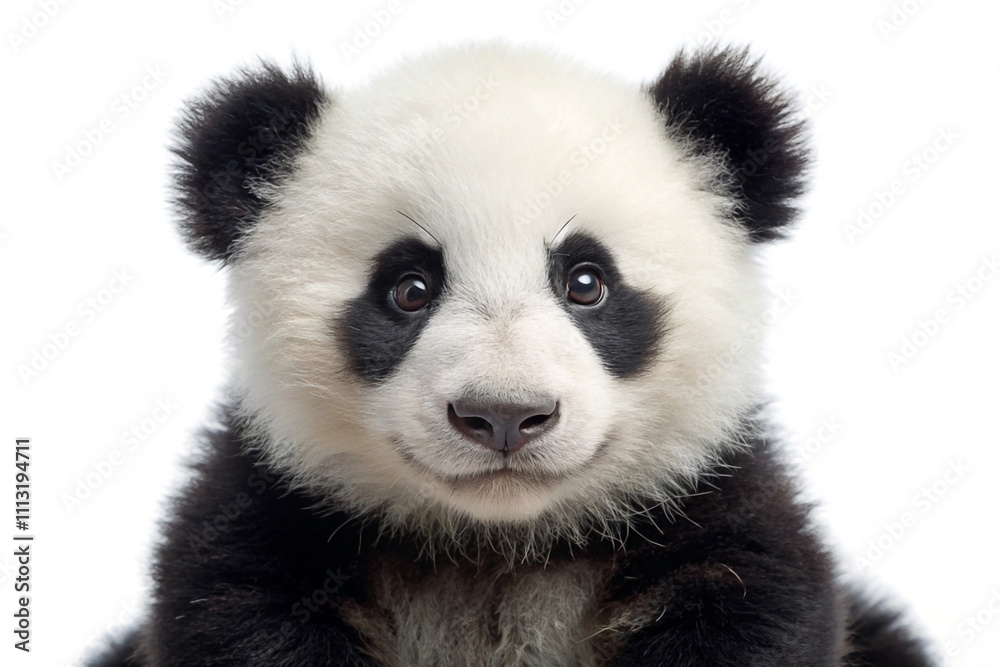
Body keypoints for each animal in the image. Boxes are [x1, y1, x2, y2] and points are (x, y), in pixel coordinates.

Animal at [89, 44, 932, 666]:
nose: (502, 414)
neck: (498, 544)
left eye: (586, 281)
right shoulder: (274, 515)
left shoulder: (709, 503)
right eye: (409, 288)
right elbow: (233, 601)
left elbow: (757, 596)